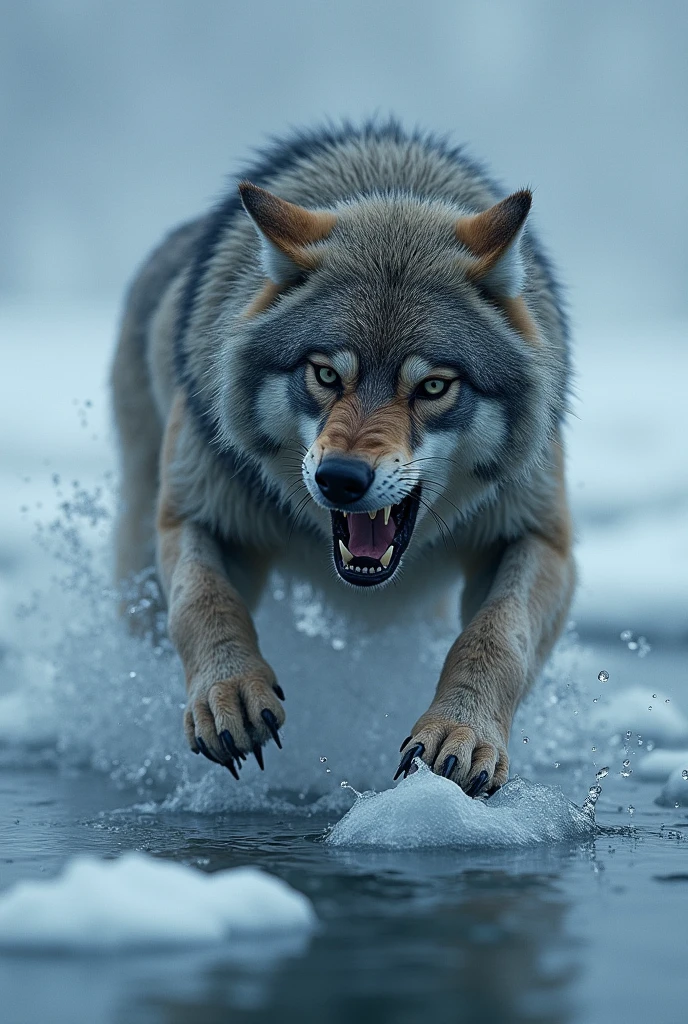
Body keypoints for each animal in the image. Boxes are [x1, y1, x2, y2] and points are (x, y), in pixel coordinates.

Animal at [111, 120, 574, 796]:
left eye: (433, 386)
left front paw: (459, 735)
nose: (341, 478)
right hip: (140, 554)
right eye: (326, 374)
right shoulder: (195, 516)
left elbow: (494, 637)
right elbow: (203, 601)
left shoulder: (539, 538)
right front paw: (231, 694)